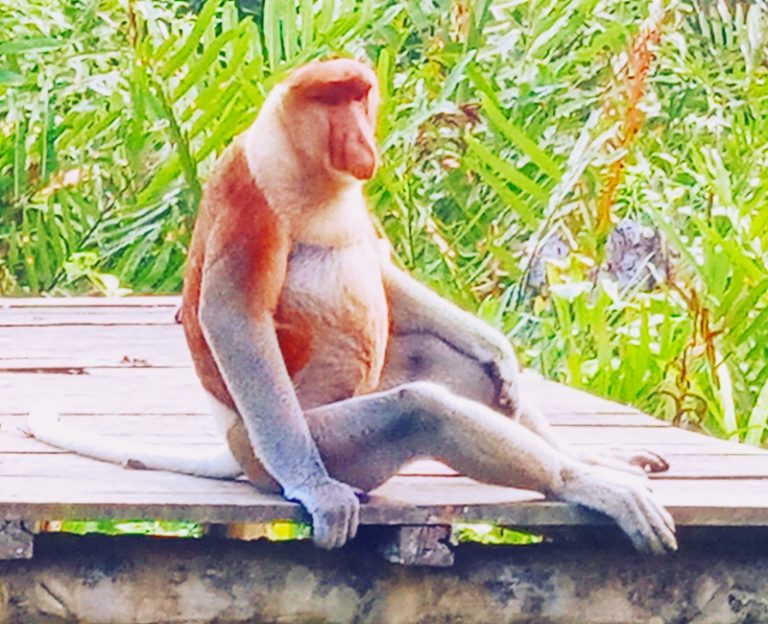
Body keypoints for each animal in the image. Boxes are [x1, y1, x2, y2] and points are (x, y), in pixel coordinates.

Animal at [28, 59, 676, 554]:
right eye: (333, 101)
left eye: (362, 97)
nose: (363, 140)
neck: (303, 161)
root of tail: (234, 447)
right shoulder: (250, 193)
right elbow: (233, 319)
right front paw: (316, 490)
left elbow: (382, 272)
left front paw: (499, 351)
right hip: (307, 436)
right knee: (421, 409)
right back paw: (585, 482)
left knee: (443, 361)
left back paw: (590, 456)